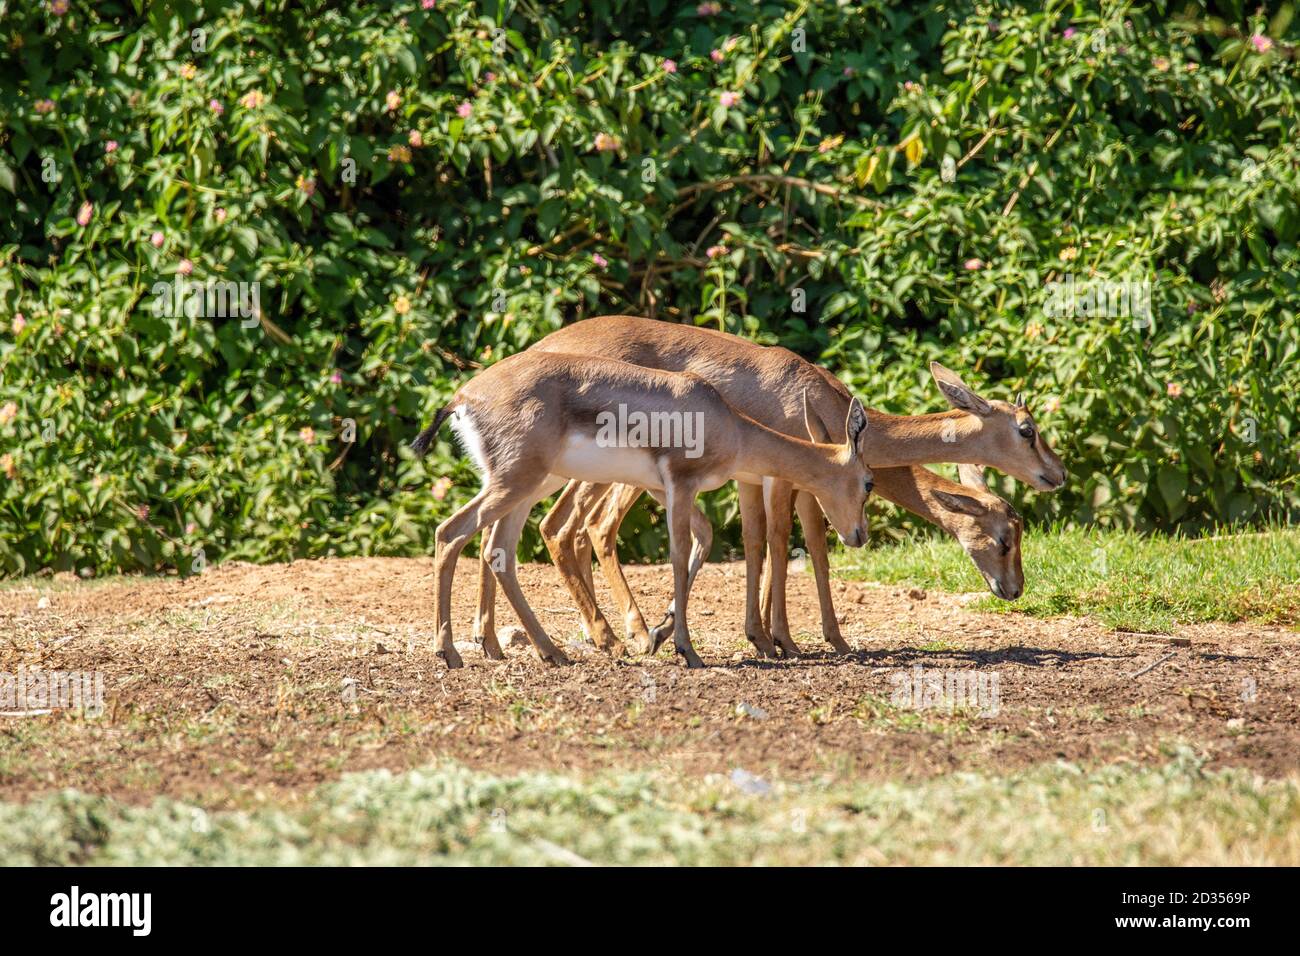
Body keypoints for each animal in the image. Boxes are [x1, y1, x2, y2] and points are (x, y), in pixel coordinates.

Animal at [411, 349, 874, 669]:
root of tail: (463, 397)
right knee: (450, 533)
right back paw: (449, 652)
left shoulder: (661, 489)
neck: (727, 423)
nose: (861, 535)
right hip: (516, 484)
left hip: (527, 486)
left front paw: (659, 634)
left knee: (498, 551)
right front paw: (687, 650)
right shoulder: (682, 484)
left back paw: (552, 652)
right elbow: (677, 554)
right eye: (868, 481)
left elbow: (699, 545)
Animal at [473, 316, 1063, 658]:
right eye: (1027, 429)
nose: (1014, 589)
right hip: (604, 478)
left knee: (510, 532)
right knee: (574, 528)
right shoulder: (784, 481)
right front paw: (794, 640)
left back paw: (507, 640)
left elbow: (767, 543)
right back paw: (621, 635)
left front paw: (764, 635)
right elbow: (788, 545)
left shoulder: (769, 484)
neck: (823, 398)